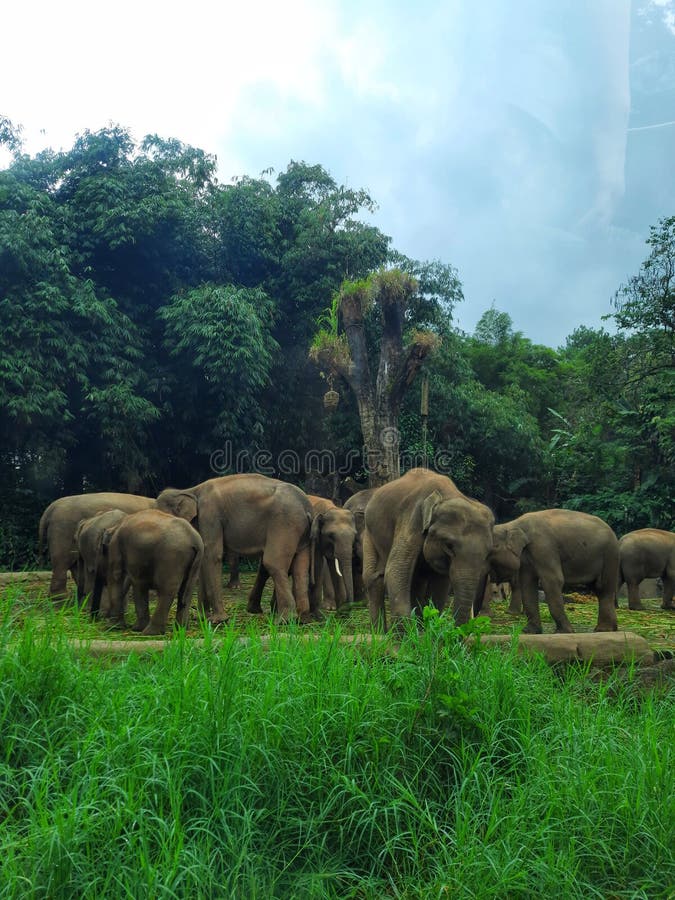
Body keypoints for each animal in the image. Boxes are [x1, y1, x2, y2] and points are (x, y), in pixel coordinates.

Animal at [156, 474, 314, 625]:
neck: (189, 490)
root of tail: (306, 507)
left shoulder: (210, 514)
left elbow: (212, 555)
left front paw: (217, 620)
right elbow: (204, 559)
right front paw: (202, 618)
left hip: (285, 522)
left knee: (273, 563)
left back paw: (284, 620)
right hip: (301, 532)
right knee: (300, 568)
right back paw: (302, 619)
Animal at [362, 468, 495, 632]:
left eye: (488, 553)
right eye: (449, 546)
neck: (448, 495)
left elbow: (441, 584)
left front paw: (427, 630)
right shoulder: (412, 519)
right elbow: (395, 571)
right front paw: (407, 635)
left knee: (416, 581)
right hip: (368, 534)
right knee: (374, 578)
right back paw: (380, 633)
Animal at [488, 509, 619, 633]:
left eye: (492, 549)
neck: (513, 523)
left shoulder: (544, 546)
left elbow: (553, 580)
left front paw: (564, 632)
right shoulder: (526, 557)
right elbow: (527, 583)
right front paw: (529, 631)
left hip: (609, 556)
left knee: (603, 588)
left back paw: (603, 629)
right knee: (598, 589)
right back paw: (609, 628)